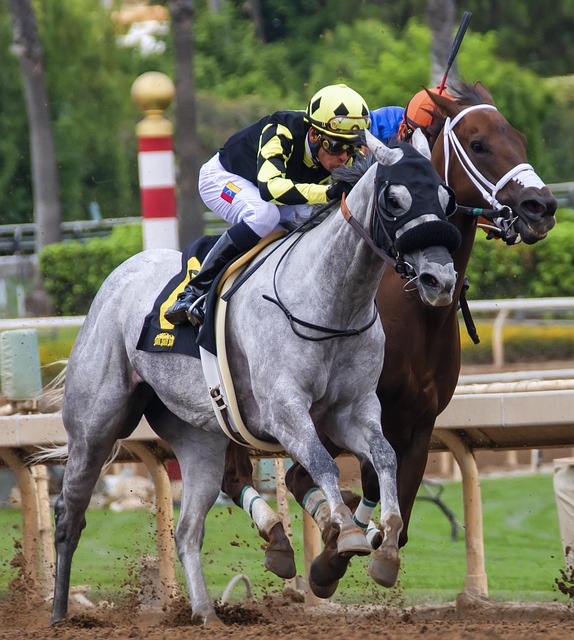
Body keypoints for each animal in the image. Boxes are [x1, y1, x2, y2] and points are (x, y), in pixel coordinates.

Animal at [47, 129, 461, 626]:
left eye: (446, 199)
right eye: (394, 199)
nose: (440, 280)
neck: (329, 303)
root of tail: (118, 276)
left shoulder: (353, 409)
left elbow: (384, 458)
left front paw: (386, 546)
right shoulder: (285, 411)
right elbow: (323, 463)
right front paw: (343, 532)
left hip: (198, 437)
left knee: (188, 530)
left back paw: (206, 614)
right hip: (95, 424)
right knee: (69, 512)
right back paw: (59, 614)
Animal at [219, 81, 558, 594]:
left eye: (518, 138)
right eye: (478, 144)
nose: (541, 207)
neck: (412, 312)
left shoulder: (418, 422)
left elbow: (392, 494)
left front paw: (368, 543)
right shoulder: (327, 416)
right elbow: (306, 478)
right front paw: (330, 558)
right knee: (231, 472)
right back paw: (278, 538)